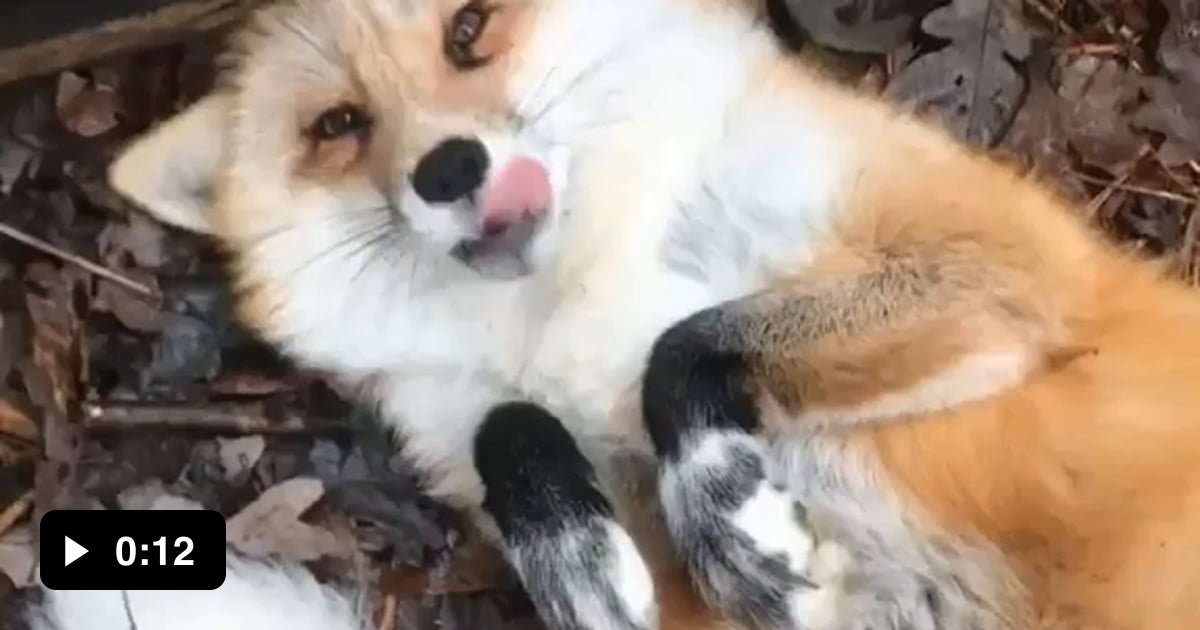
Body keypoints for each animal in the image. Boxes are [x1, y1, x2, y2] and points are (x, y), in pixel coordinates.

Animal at [17, 0, 1200, 629]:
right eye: (340, 126)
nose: (450, 168)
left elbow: (684, 350)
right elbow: (513, 430)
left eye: (468, 29)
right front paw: (577, 558)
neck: (589, 276)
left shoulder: (991, 270)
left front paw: (728, 512)